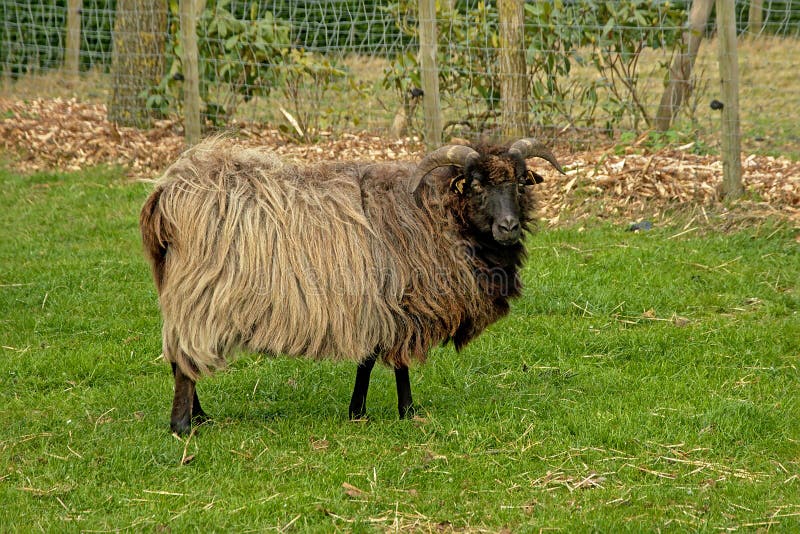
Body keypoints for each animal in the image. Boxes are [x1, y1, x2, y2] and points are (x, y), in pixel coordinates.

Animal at [140, 137, 564, 434]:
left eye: (521, 183)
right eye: (475, 186)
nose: (508, 227)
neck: (439, 216)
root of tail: (167, 193)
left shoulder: (376, 303)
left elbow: (368, 359)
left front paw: (357, 411)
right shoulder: (402, 303)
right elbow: (398, 363)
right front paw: (407, 411)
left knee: (181, 356)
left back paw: (200, 416)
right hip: (199, 293)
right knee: (184, 359)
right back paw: (183, 426)